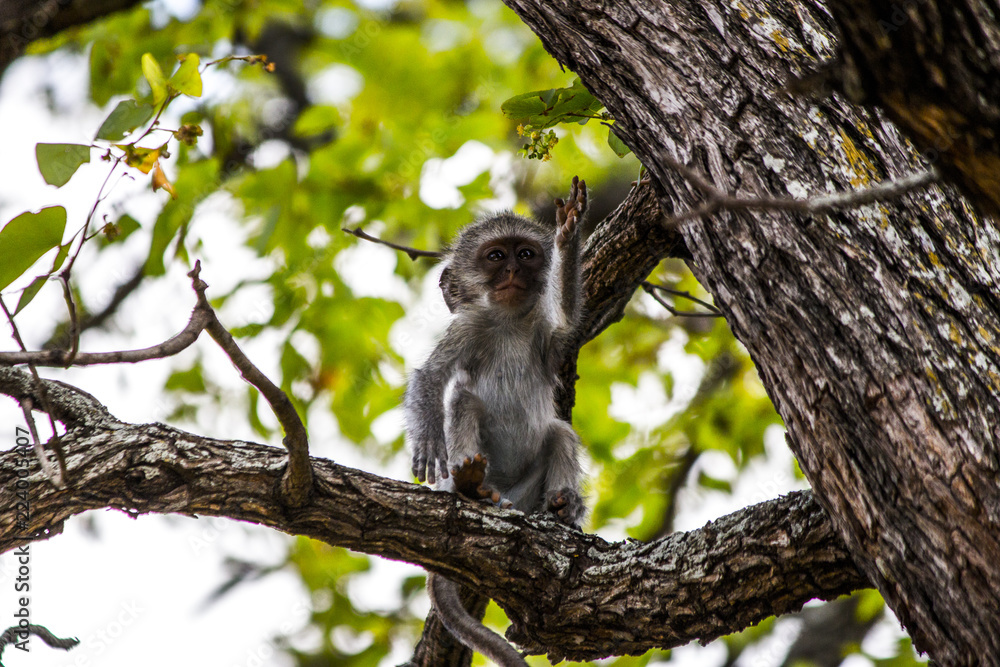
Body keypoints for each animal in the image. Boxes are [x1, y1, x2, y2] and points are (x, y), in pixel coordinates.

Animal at [404, 176, 589, 667]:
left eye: (525, 254)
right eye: (495, 256)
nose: (511, 274)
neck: (508, 323)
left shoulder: (546, 334)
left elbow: (567, 320)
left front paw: (569, 234)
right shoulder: (466, 329)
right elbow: (432, 378)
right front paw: (428, 440)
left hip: (525, 495)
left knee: (558, 432)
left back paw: (563, 508)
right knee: (464, 400)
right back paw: (471, 486)